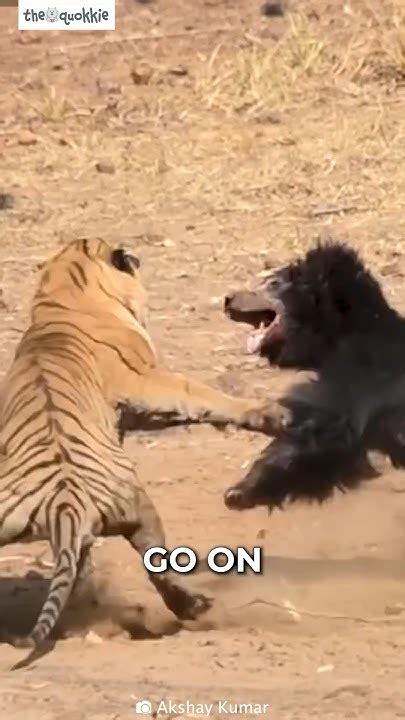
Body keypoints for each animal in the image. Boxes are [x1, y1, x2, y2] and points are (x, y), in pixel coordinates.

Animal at [0, 237, 290, 664]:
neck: (60, 297)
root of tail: (65, 504)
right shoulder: (148, 381)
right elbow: (201, 394)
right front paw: (269, 414)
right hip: (140, 508)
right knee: (160, 570)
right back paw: (194, 607)